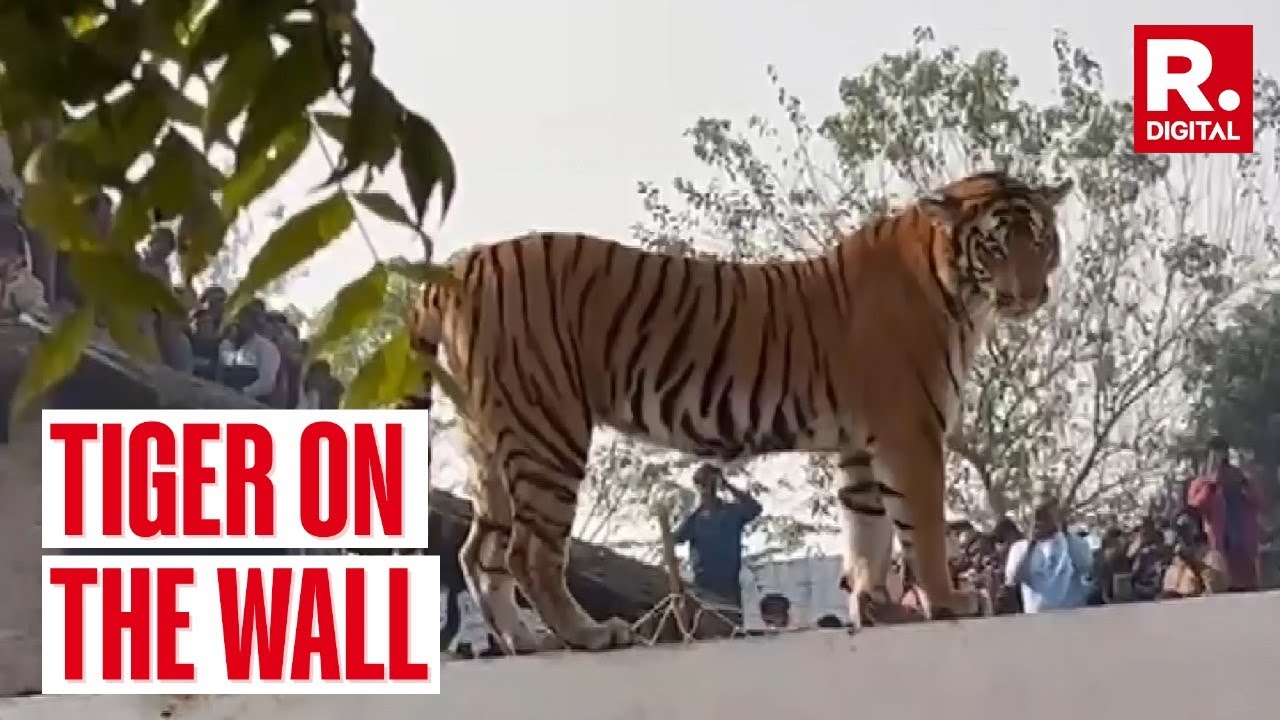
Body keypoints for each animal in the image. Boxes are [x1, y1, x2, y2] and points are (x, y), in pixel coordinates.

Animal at [403, 170, 1073, 654]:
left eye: (1040, 241)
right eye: (996, 245)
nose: (1031, 295)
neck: (959, 290)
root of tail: (462, 263)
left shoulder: (861, 445)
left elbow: (868, 532)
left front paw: (877, 608)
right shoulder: (911, 431)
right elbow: (922, 527)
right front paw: (947, 602)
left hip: (490, 442)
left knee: (477, 552)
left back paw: (525, 640)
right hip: (548, 430)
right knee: (528, 551)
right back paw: (589, 635)